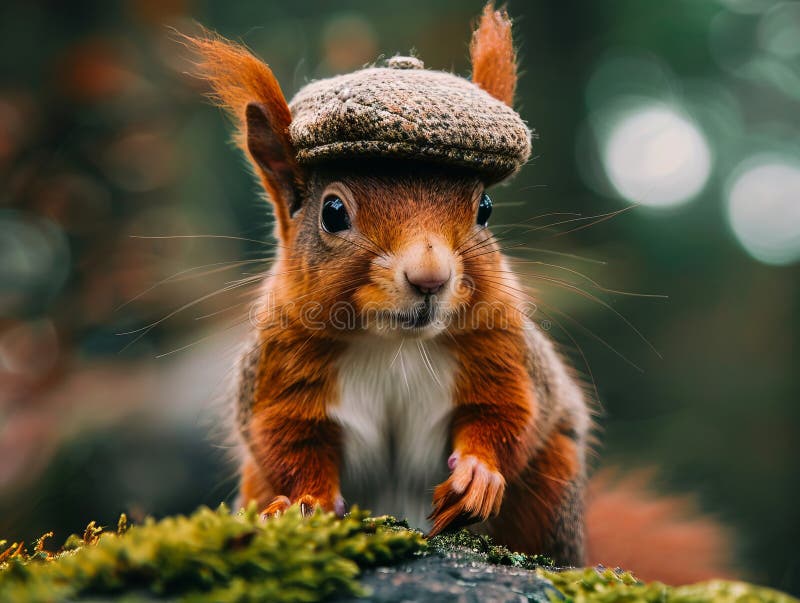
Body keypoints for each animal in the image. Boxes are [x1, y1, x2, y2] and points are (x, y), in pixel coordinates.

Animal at [186, 3, 732, 582]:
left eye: (485, 209)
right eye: (332, 212)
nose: (430, 277)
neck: (393, 346)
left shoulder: (503, 348)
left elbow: (510, 413)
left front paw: (478, 476)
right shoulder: (281, 370)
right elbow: (288, 441)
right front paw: (305, 504)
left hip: (554, 481)